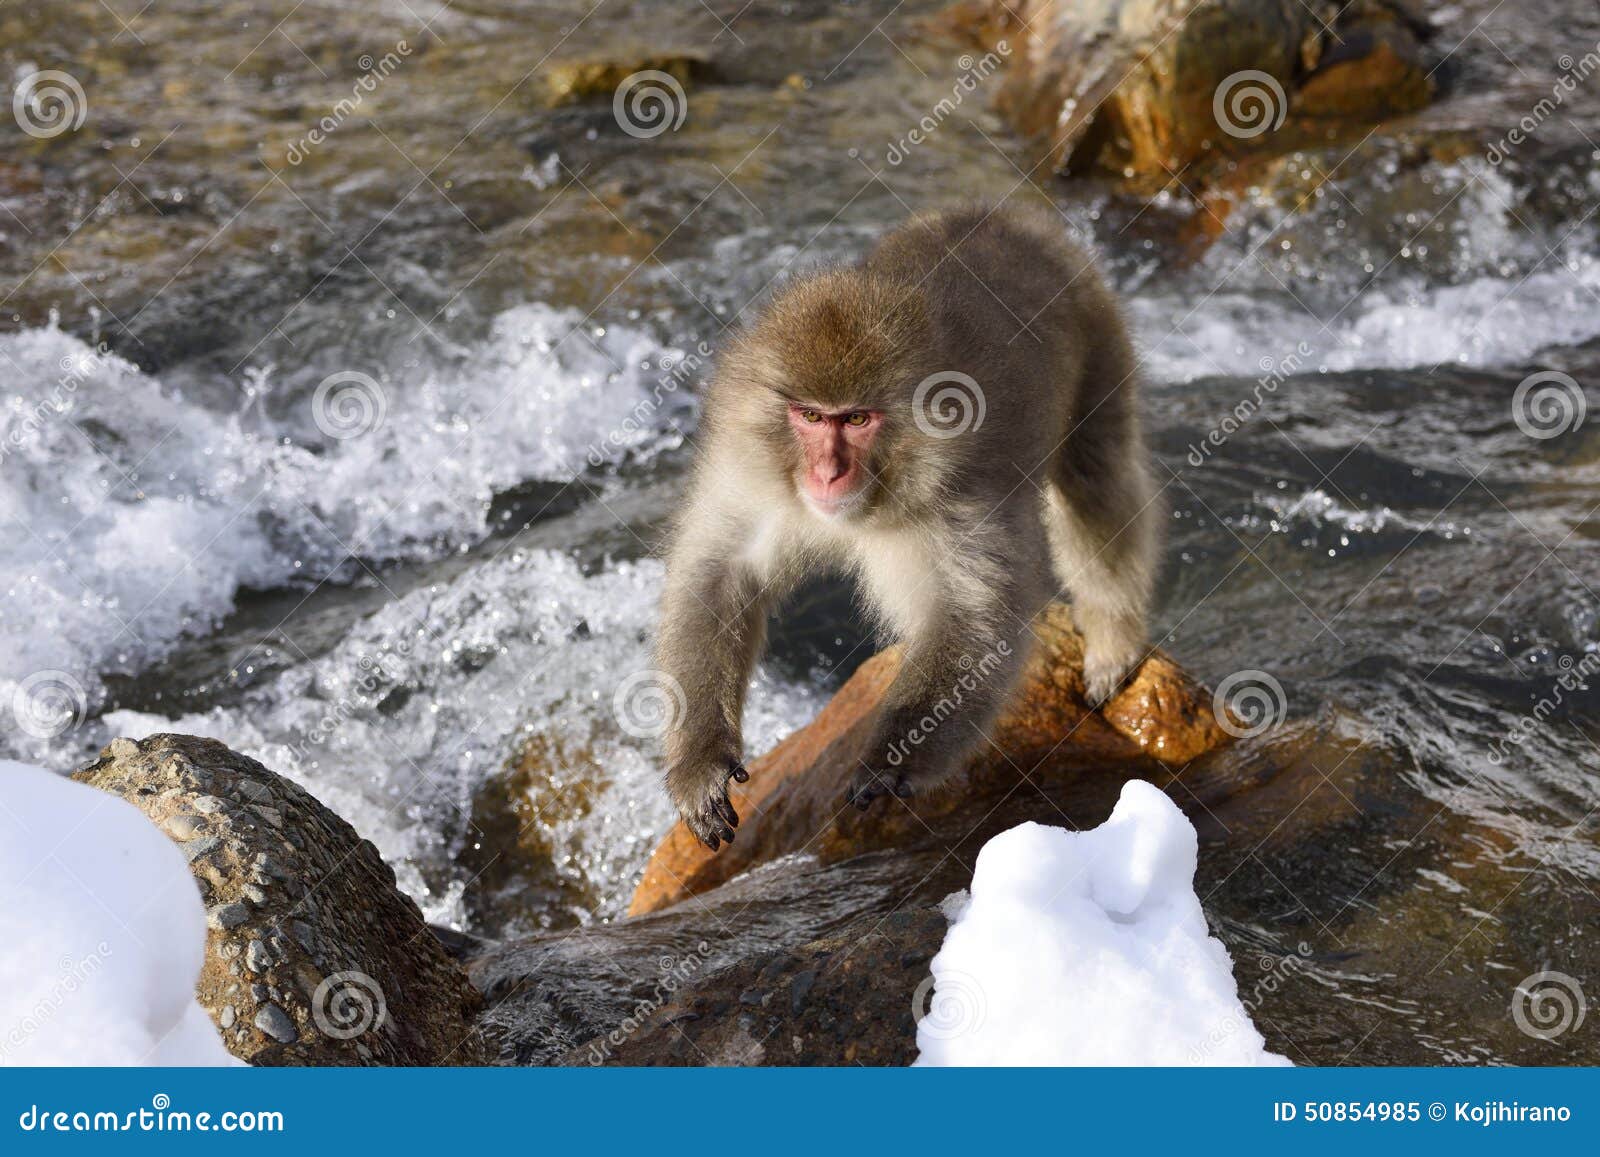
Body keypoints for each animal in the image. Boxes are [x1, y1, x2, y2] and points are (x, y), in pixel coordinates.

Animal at [655, 203, 1160, 851]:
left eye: (857, 420)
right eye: (810, 416)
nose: (826, 473)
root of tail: (997, 214)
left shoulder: (961, 497)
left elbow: (970, 618)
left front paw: (890, 761)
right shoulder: (750, 473)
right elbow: (717, 573)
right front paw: (701, 763)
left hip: (1098, 331)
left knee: (1097, 473)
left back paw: (1112, 640)